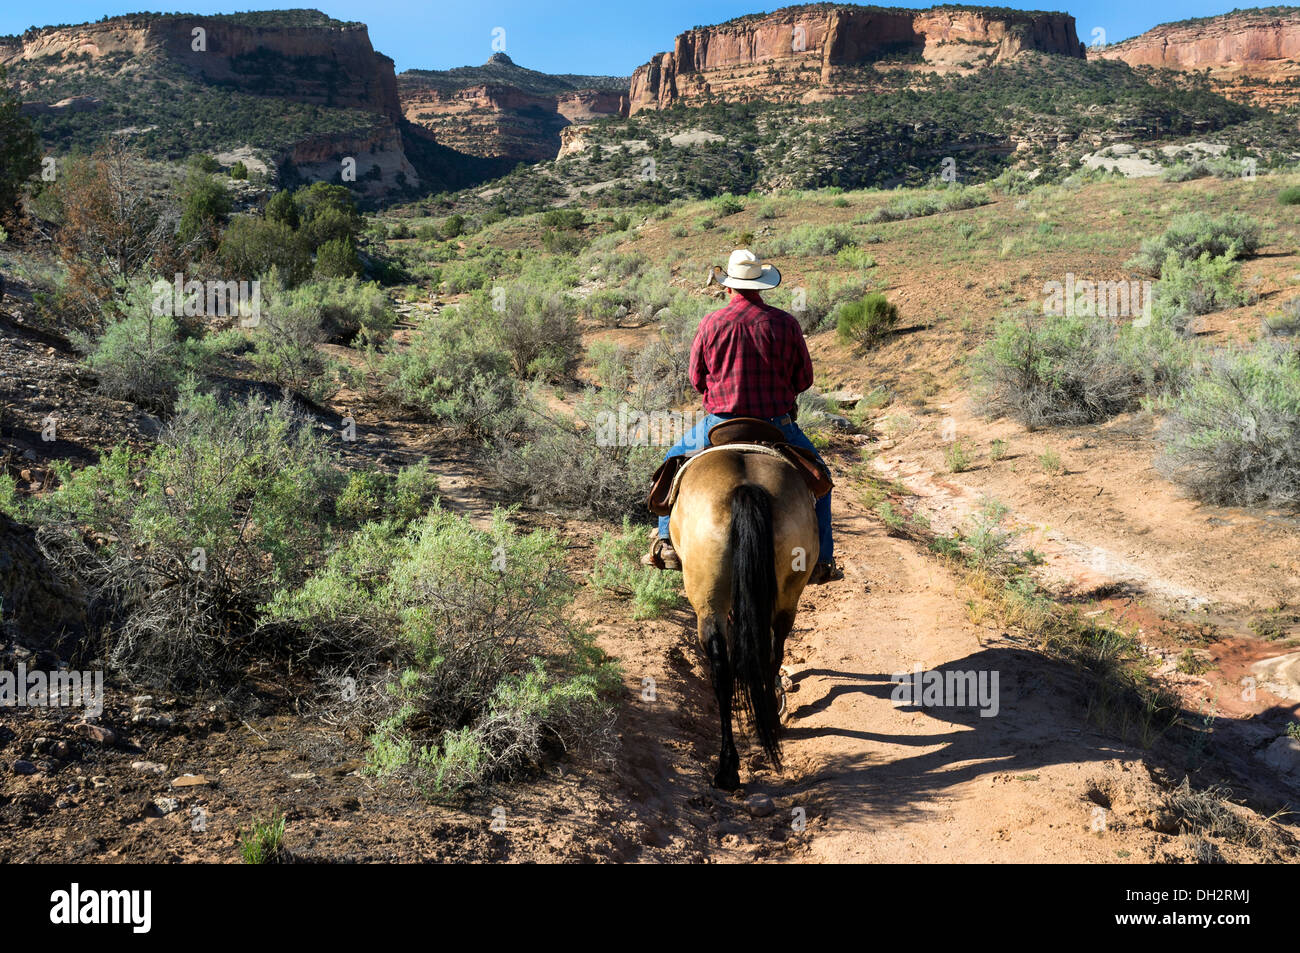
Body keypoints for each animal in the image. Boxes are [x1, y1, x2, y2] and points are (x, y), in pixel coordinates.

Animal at [669, 446, 819, 790]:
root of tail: (746, 487)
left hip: (707, 600)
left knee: (721, 668)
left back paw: (728, 766)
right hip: (786, 597)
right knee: (772, 652)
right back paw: (767, 723)